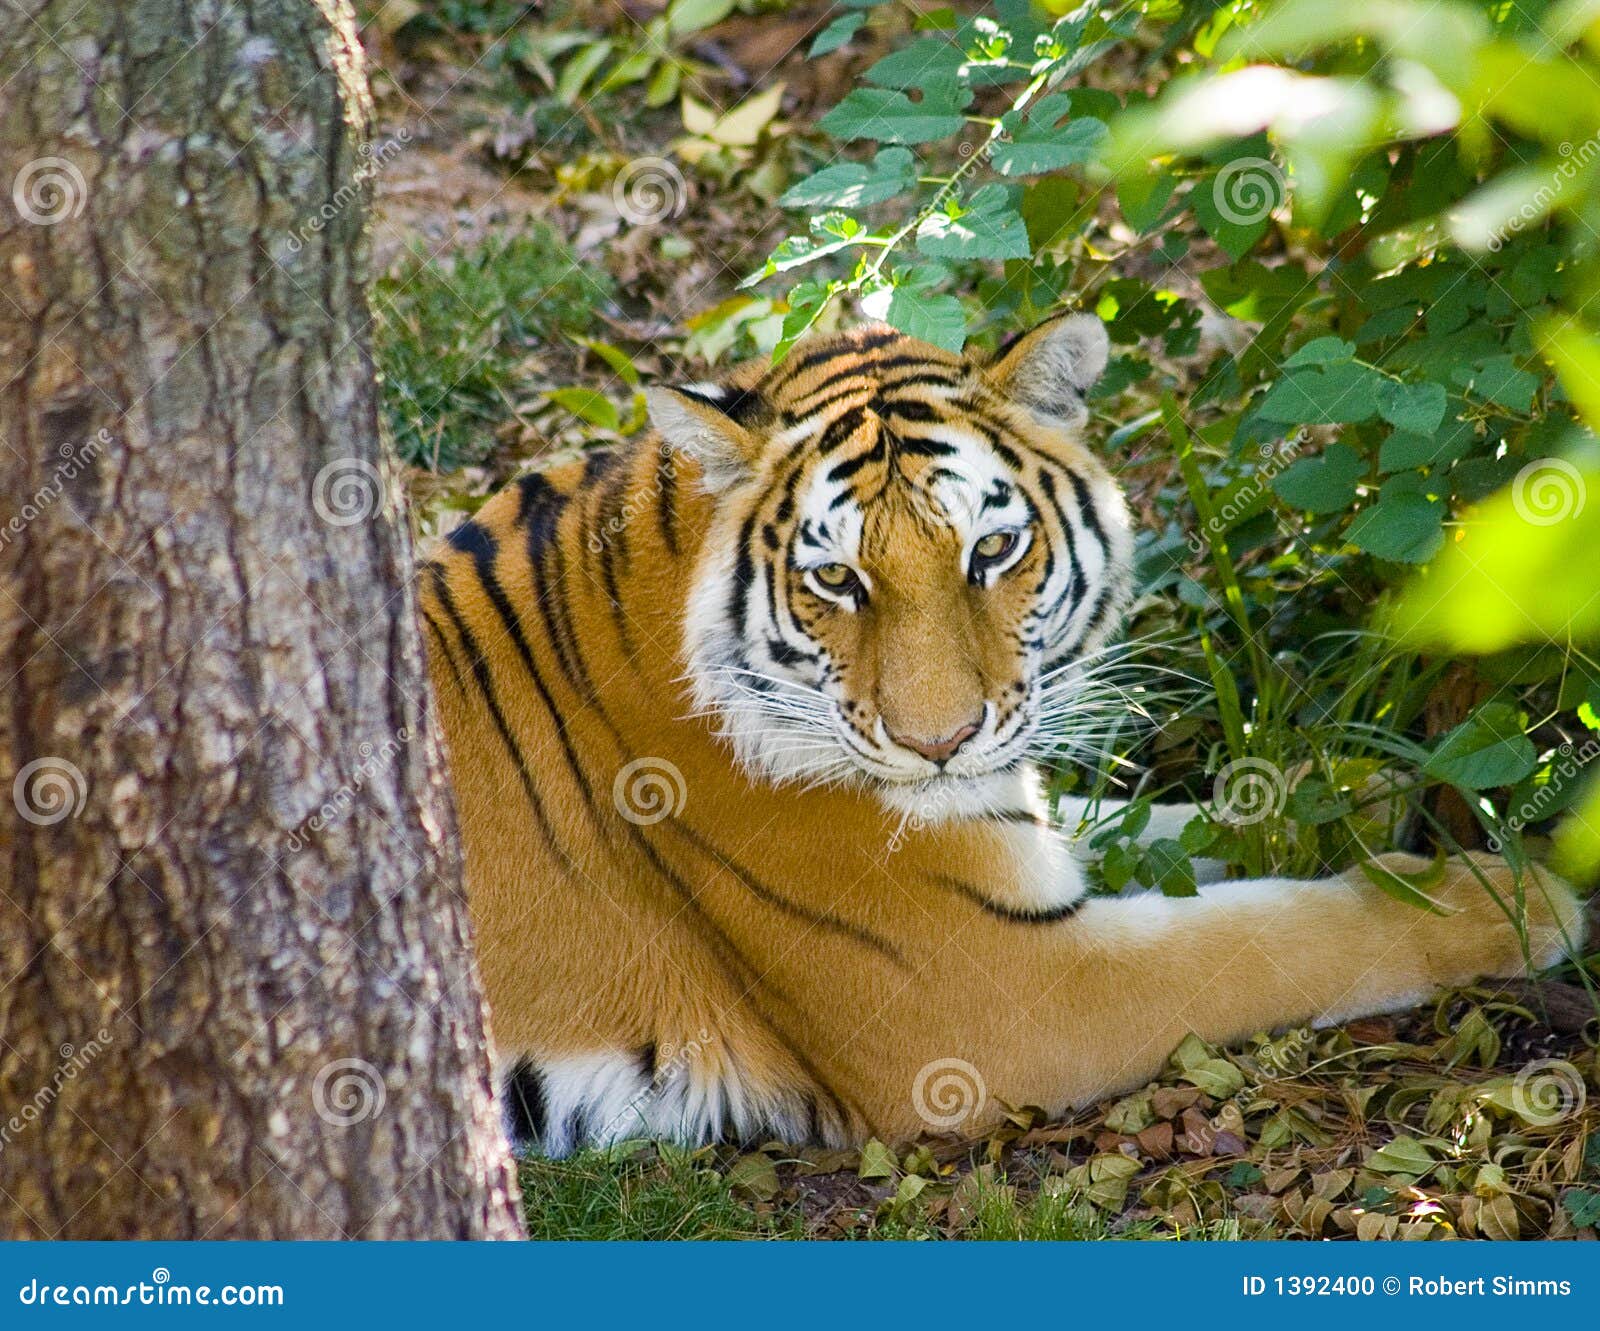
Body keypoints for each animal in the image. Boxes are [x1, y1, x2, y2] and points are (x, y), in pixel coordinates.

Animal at [417, 313, 1586, 1157]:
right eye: (835, 578)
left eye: (991, 549)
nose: (938, 741)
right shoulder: (1001, 995)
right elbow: (1280, 933)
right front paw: (1509, 898)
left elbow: (1161, 821)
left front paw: (1352, 788)